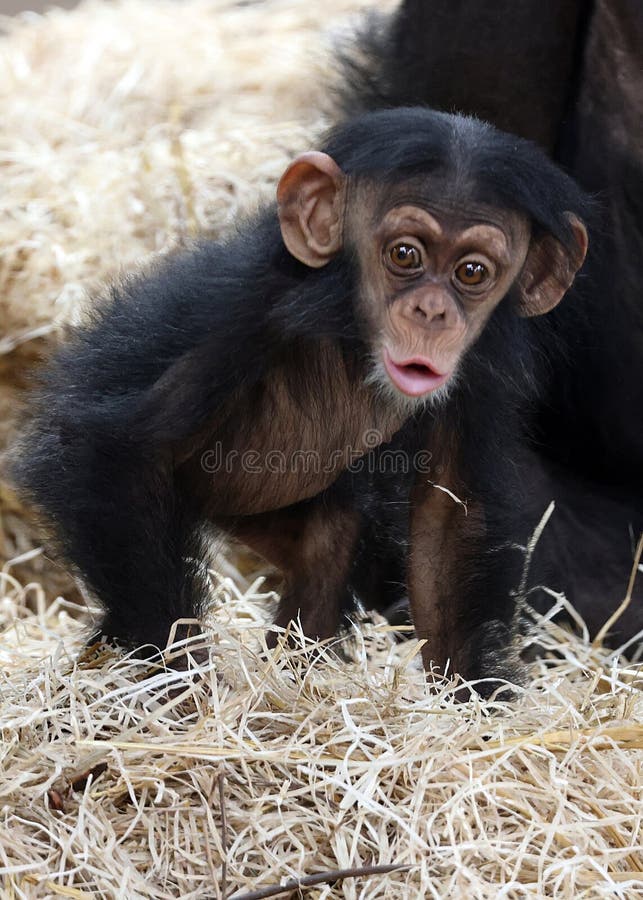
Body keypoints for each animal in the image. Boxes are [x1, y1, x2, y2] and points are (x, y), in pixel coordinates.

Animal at [11, 107, 589, 689]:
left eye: (472, 271)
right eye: (405, 254)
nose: (432, 311)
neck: (349, 327)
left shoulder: (479, 374)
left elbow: (449, 525)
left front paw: (471, 696)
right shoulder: (239, 316)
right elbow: (122, 448)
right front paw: (175, 682)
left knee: (330, 539)